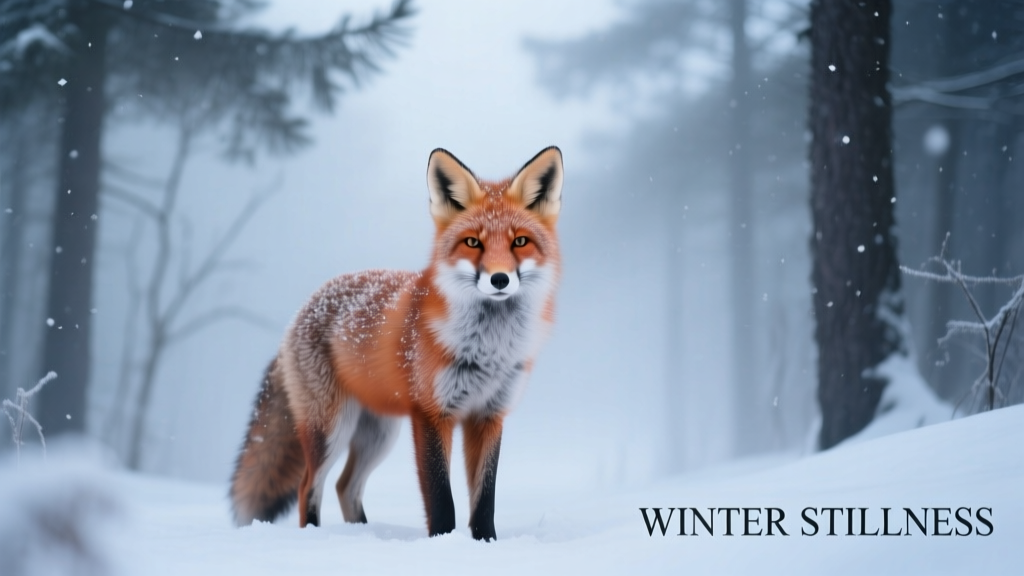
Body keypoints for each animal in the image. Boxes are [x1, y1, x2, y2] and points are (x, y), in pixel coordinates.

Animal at [229, 146, 563, 541]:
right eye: (473, 242)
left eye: (519, 241)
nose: (499, 279)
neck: (487, 349)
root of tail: (300, 312)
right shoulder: (432, 414)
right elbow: (441, 499)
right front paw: (443, 543)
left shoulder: (489, 415)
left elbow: (484, 500)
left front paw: (486, 544)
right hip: (331, 429)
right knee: (308, 486)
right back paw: (317, 535)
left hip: (378, 435)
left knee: (345, 486)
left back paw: (364, 535)